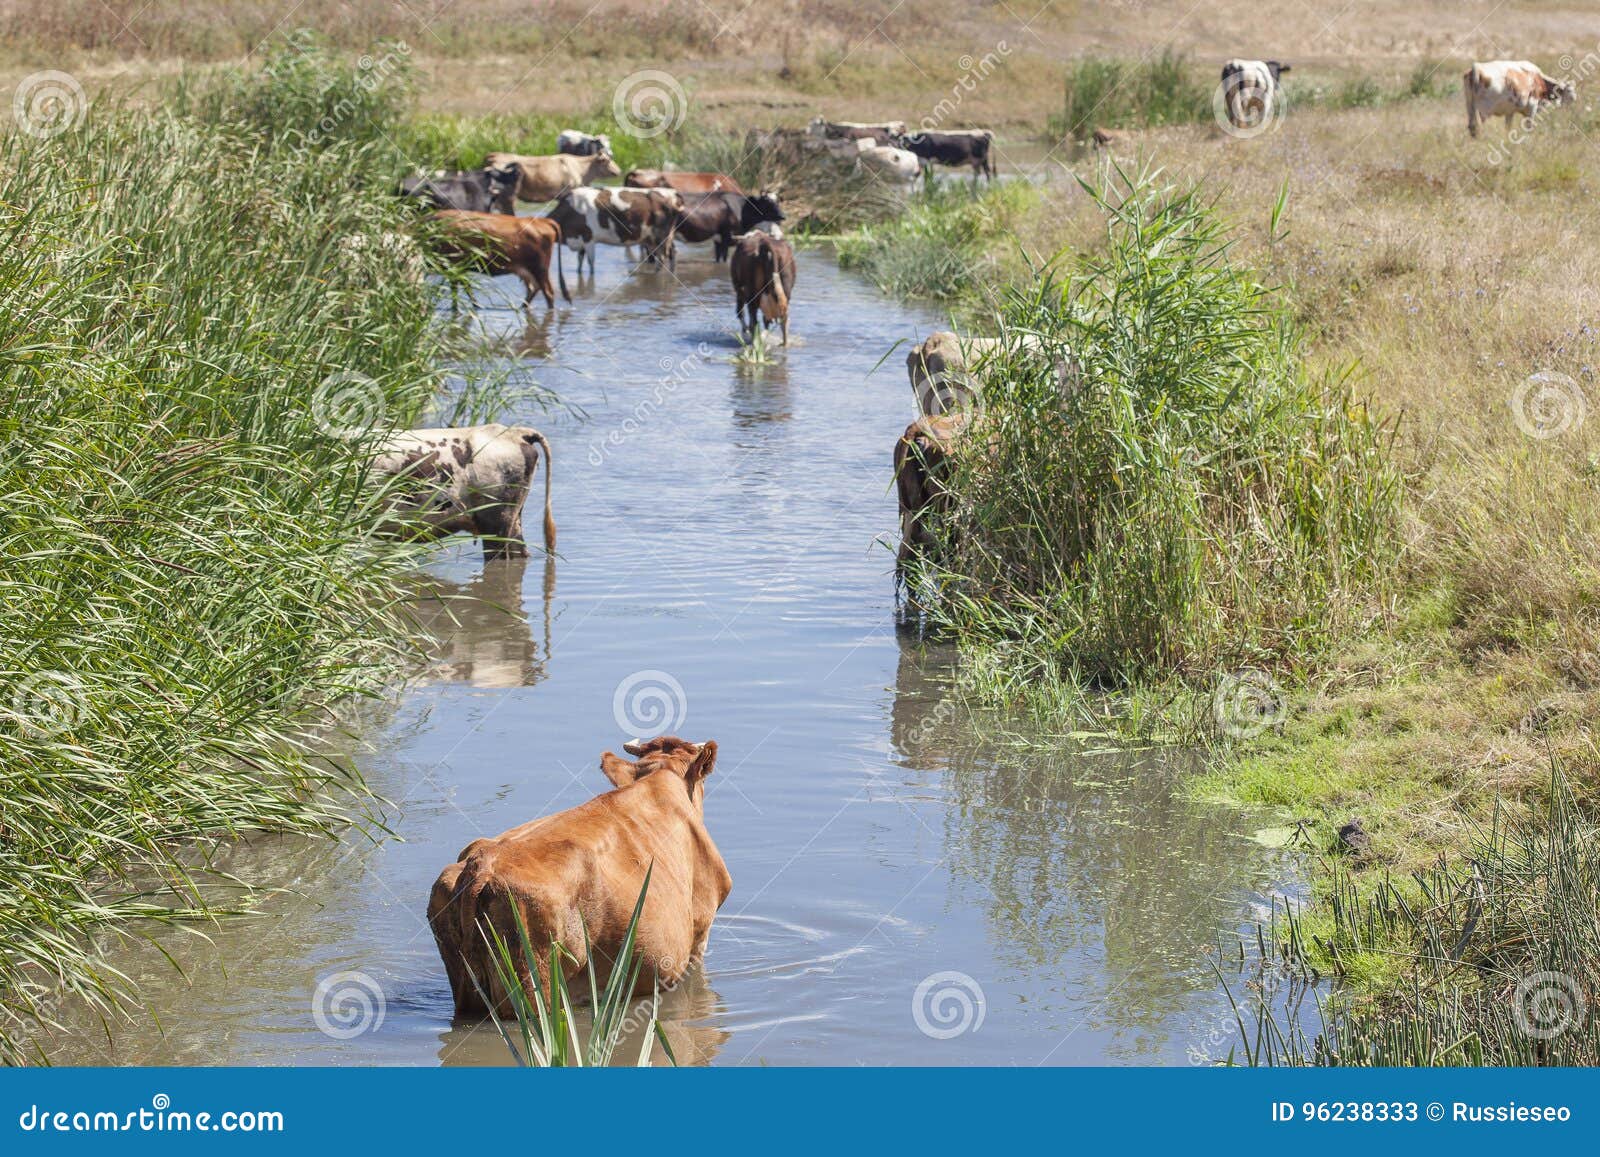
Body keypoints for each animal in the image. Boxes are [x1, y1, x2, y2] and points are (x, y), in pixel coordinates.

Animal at [430, 211, 570, 309]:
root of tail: (542, 220)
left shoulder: (454, 266)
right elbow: (464, 287)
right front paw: (475, 305)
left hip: (539, 268)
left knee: (548, 293)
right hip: (527, 270)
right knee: (533, 288)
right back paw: (522, 307)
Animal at [547, 186, 683, 274]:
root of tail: (672, 193)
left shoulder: (589, 238)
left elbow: (591, 263)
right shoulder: (580, 240)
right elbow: (579, 262)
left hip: (661, 236)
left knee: (662, 258)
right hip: (656, 237)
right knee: (673, 252)